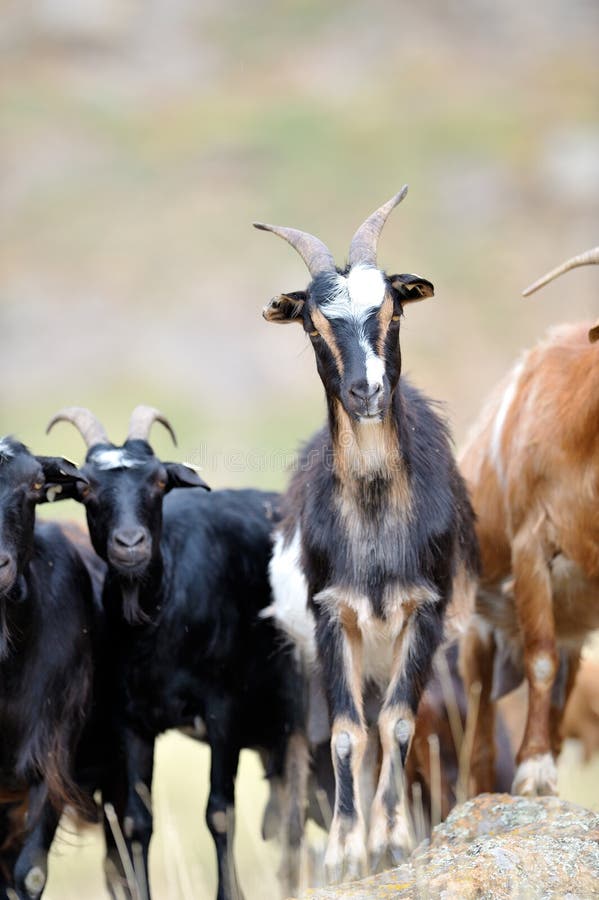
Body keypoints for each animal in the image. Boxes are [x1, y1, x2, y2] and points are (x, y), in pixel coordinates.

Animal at [47, 406, 306, 900]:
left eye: (159, 481)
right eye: (86, 488)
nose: (130, 544)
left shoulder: (223, 710)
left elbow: (220, 812)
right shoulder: (130, 722)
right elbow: (136, 822)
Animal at [254, 188, 479, 881]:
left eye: (392, 308)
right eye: (313, 324)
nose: (367, 389)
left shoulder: (423, 611)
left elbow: (397, 725)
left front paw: (390, 842)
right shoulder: (334, 616)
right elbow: (349, 733)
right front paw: (344, 850)